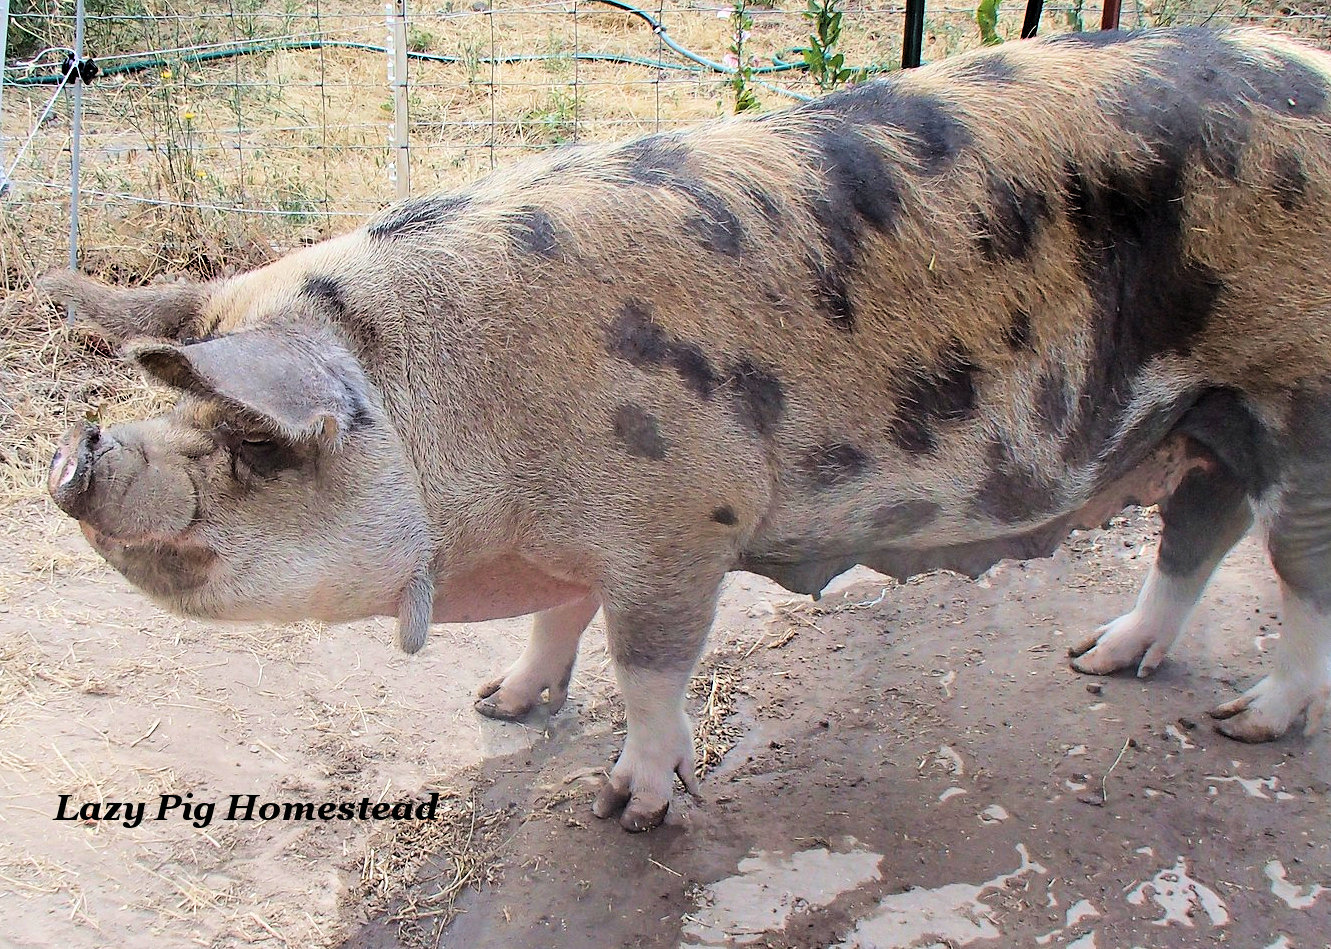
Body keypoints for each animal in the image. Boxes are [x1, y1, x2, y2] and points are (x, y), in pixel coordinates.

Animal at [41, 26, 1331, 831]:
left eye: (259, 441)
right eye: (175, 406)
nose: (79, 449)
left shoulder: (680, 517)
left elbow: (647, 666)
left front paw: (627, 807)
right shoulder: (583, 530)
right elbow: (560, 618)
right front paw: (499, 704)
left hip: (1296, 393)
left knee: (1295, 573)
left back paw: (1244, 724)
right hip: (1206, 410)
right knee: (1199, 531)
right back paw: (1101, 659)